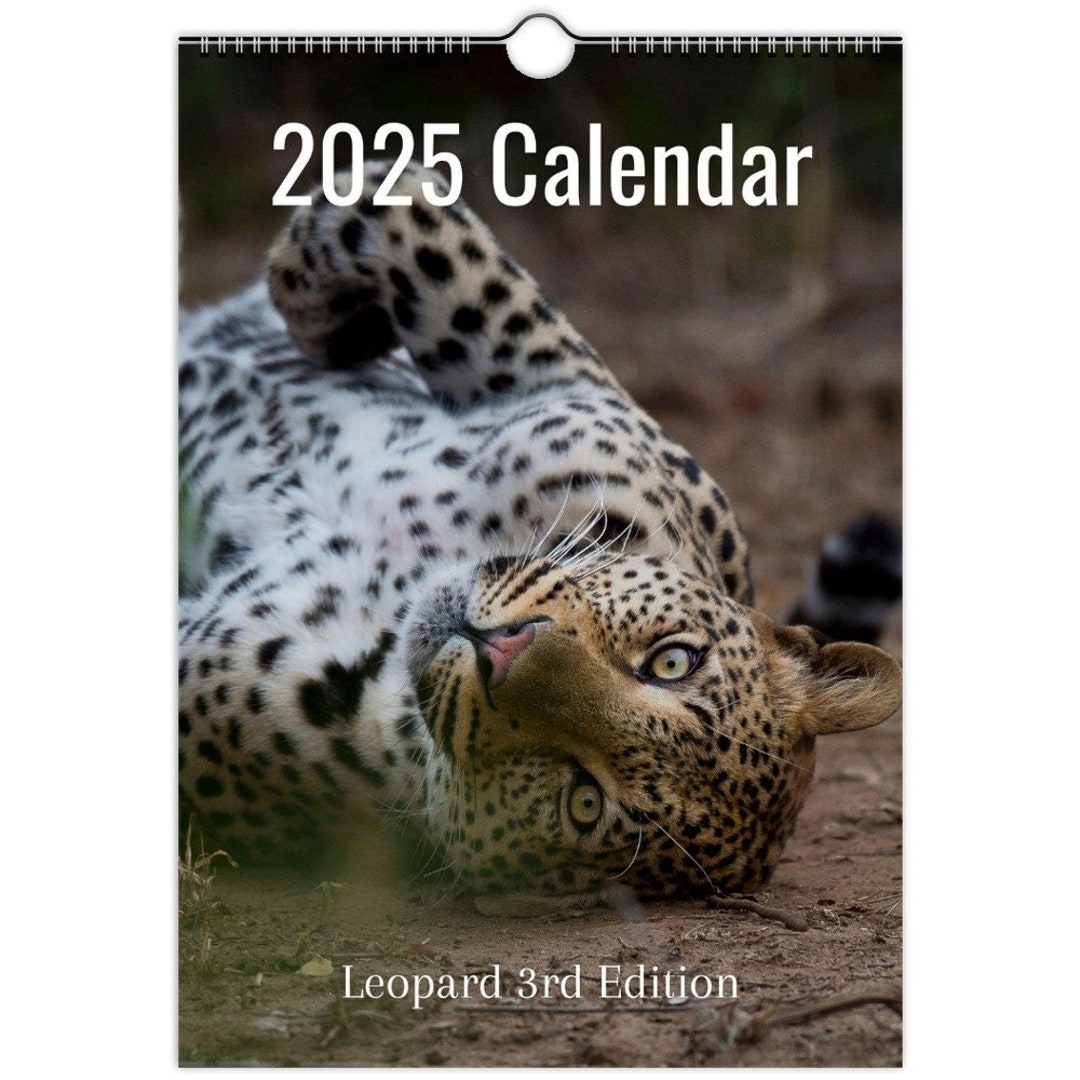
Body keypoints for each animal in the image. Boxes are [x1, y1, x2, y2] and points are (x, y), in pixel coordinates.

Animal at [178, 159, 901, 902]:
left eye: (583, 800)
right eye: (673, 661)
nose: (501, 647)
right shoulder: (559, 383)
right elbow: (412, 217)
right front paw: (323, 319)